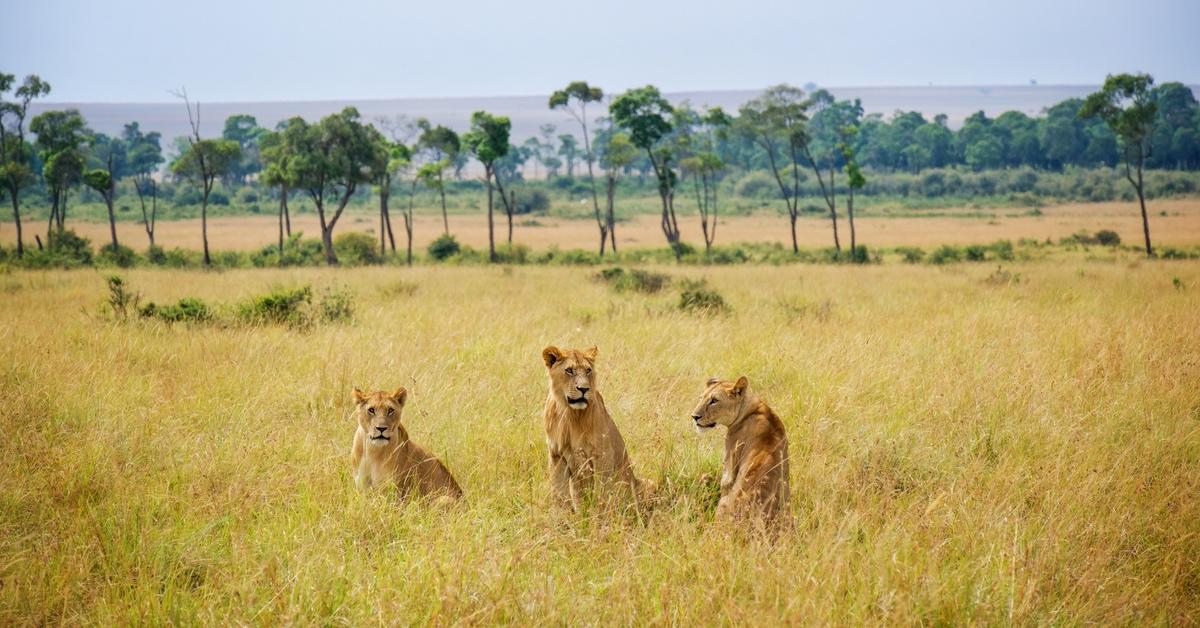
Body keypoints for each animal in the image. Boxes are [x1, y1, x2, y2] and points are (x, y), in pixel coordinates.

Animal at [541, 345, 654, 512]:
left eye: (588, 370)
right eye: (569, 370)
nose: (584, 389)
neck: (569, 413)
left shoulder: (603, 453)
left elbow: (602, 491)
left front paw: (600, 514)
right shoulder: (556, 455)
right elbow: (559, 492)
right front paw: (561, 516)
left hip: (646, 483)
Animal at [690, 376, 790, 525]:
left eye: (714, 401)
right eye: (701, 398)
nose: (694, 416)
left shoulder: (730, 459)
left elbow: (725, 482)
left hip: (724, 503)